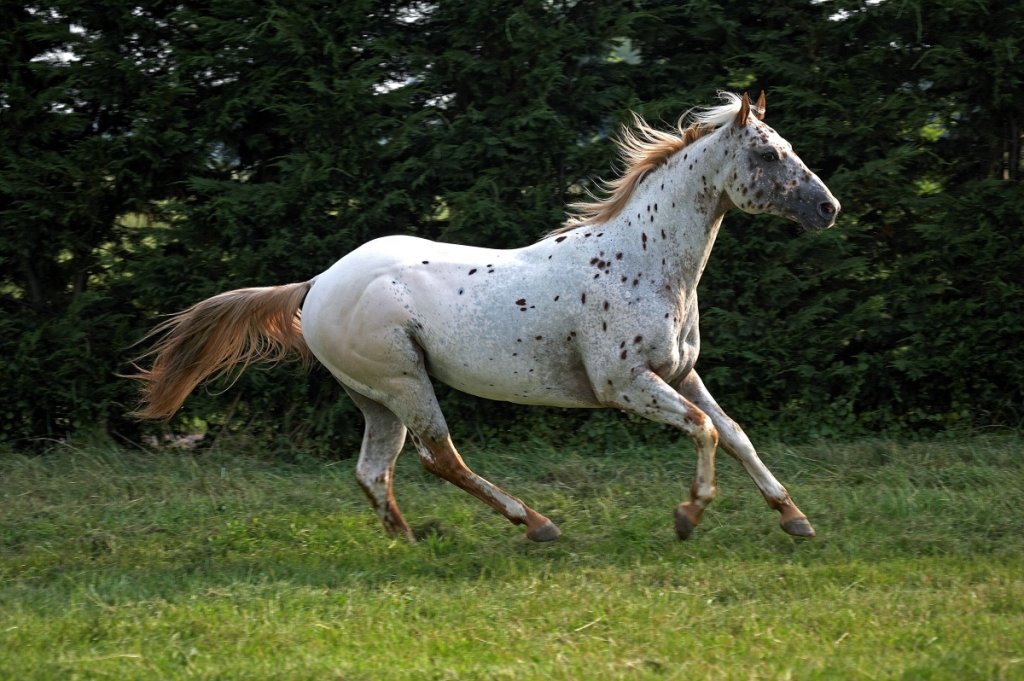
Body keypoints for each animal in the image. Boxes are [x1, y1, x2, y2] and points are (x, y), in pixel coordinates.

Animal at [130, 92, 840, 543]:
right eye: (769, 155)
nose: (828, 208)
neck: (641, 261)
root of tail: (316, 284)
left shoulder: (679, 373)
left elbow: (735, 432)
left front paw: (795, 519)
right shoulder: (625, 385)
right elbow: (704, 429)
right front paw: (688, 517)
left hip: (375, 399)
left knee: (374, 470)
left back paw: (409, 542)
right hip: (404, 383)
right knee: (438, 458)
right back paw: (536, 525)